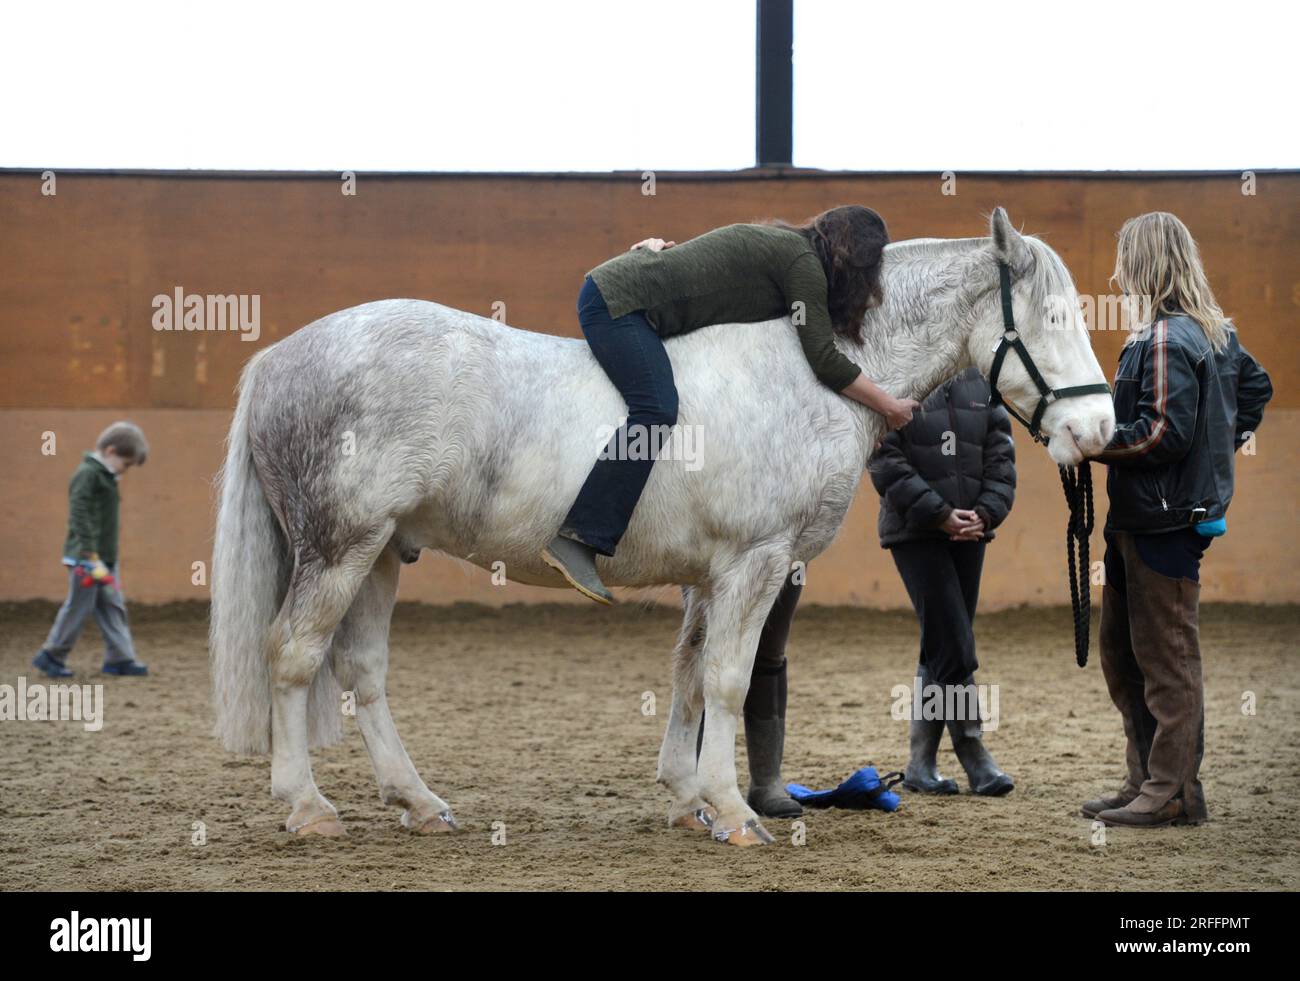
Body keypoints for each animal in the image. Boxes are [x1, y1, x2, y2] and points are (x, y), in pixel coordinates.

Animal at [209, 208, 1115, 846]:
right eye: (1055, 317)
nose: (1101, 428)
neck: (809, 374)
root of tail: (279, 358)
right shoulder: (755, 563)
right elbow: (728, 681)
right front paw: (734, 811)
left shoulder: (711, 576)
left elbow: (688, 677)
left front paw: (687, 799)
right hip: (339, 547)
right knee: (292, 654)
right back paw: (307, 805)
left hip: (380, 553)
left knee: (361, 671)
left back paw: (418, 799)